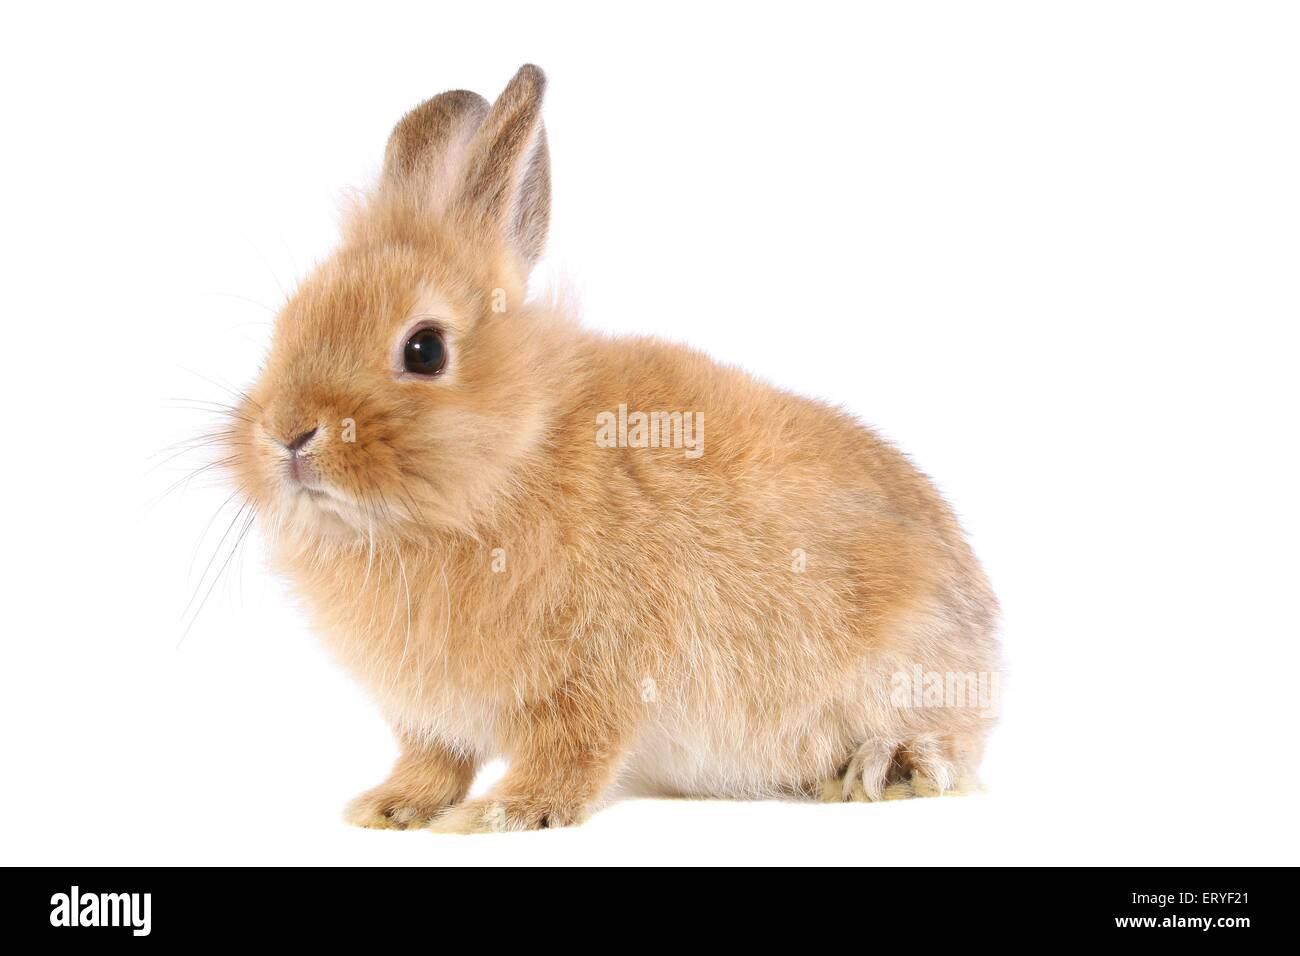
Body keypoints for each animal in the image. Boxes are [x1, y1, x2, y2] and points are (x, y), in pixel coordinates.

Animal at [223, 64, 1001, 833]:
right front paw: (390, 808)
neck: (513, 458)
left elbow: (571, 753)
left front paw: (501, 815)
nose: (286, 433)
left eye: (424, 349)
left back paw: (888, 766)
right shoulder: (433, 718)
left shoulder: (600, 677)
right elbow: (435, 759)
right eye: (288, 323)